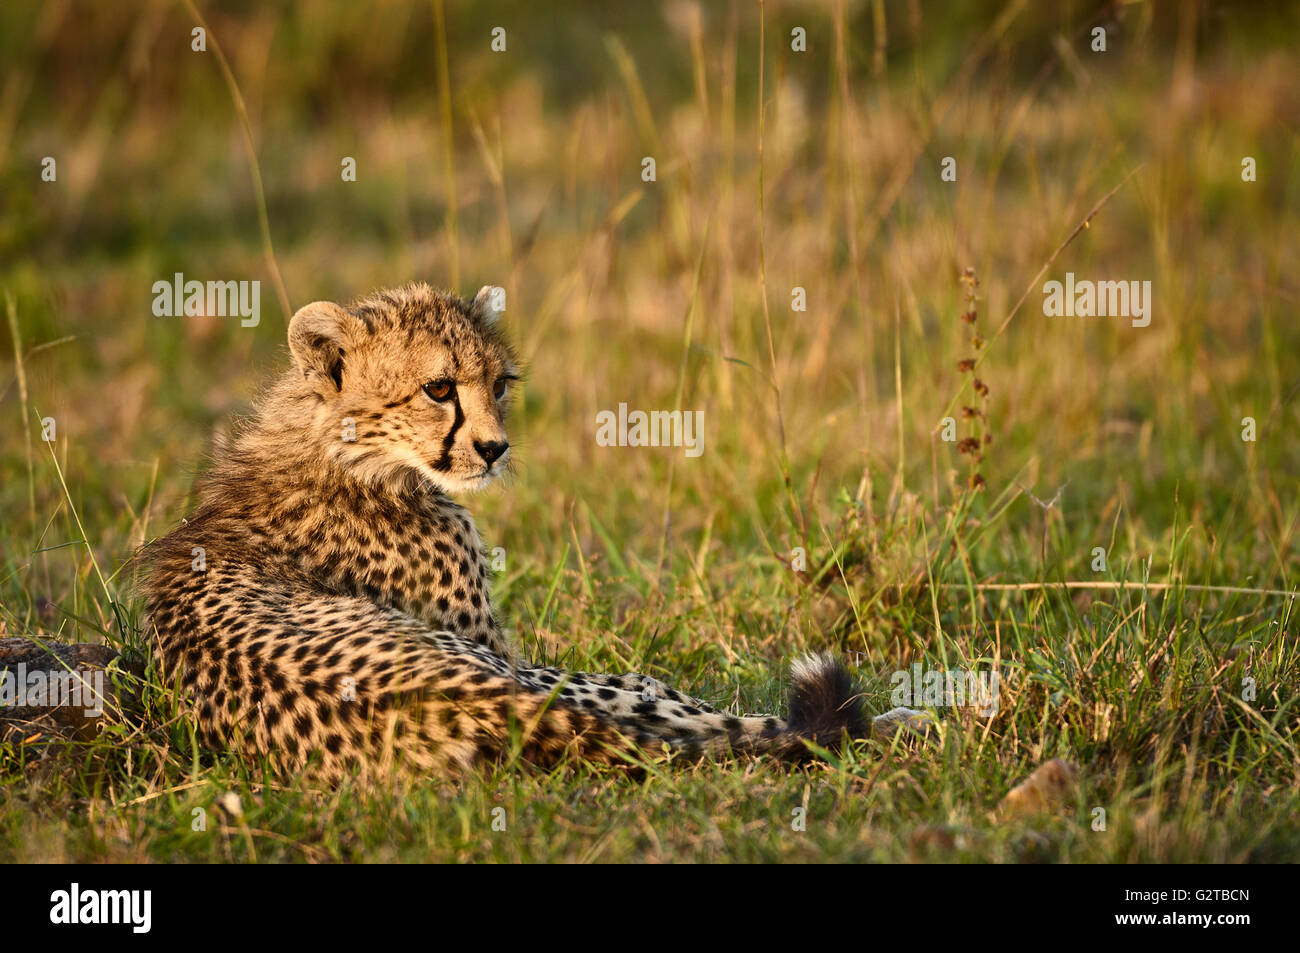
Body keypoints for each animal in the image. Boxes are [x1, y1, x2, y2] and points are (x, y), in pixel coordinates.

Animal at [138, 282, 899, 781]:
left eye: (500, 382)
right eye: (440, 388)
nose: (494, 448)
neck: (344, 452)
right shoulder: (499, 647)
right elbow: (654, 688)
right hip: (509, 673)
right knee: (676, 706)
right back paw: (900, 722)